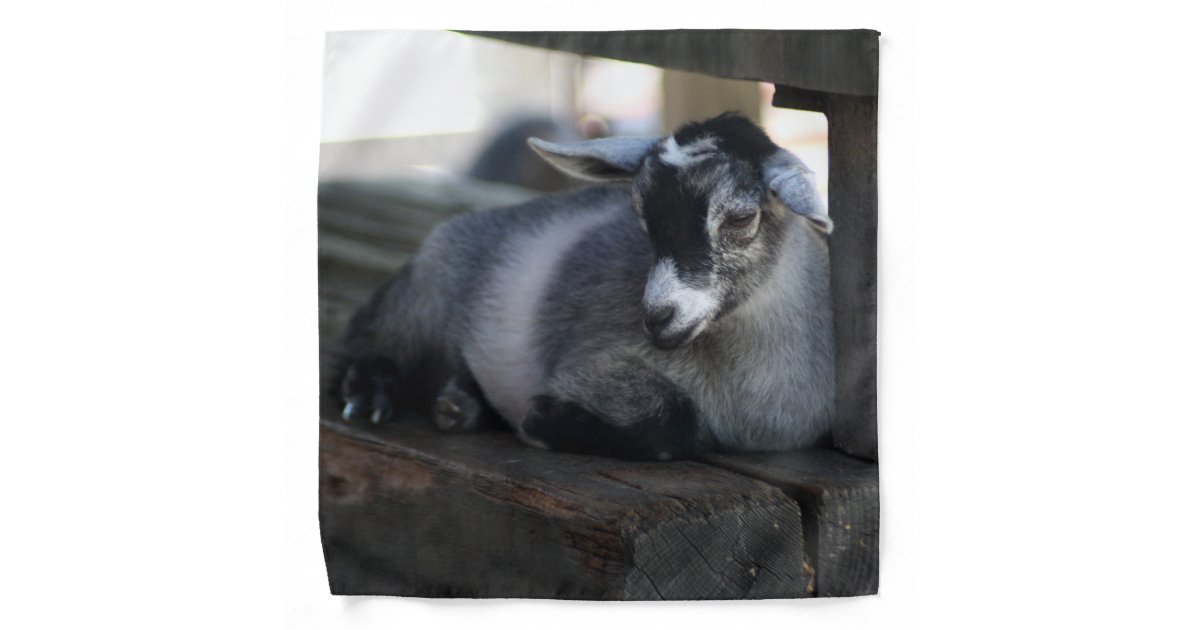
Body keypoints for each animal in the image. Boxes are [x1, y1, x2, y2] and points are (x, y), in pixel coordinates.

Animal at [337, 112, 835, 460]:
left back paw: (460, 403)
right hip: (427, 288)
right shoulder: (593, 364)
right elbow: (674, 424)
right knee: (370, 333)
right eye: (640, 214)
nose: (657, 317)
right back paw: (370, 394)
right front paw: (543, 421)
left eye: (741, 218)